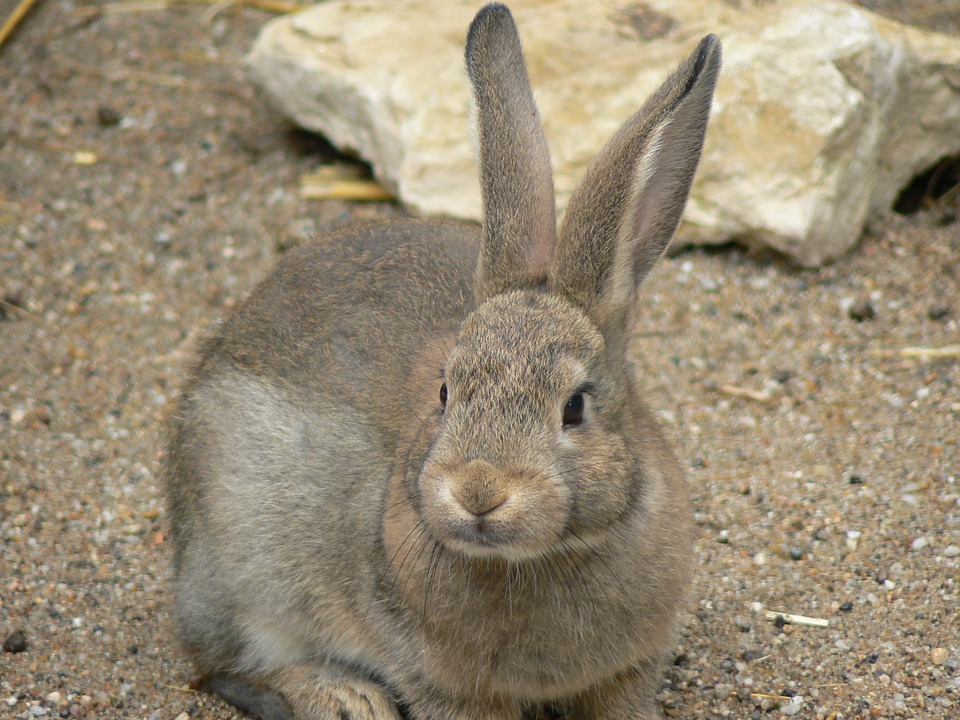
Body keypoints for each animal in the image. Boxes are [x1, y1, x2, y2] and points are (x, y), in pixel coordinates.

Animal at [165, 3, 721, 719]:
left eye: (574, 407)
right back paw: (344, 697)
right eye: (445, 392)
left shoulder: (629, 670)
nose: (479, 492)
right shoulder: (443, 685)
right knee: (222, 666)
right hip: (244, 558)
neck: (537, 558)